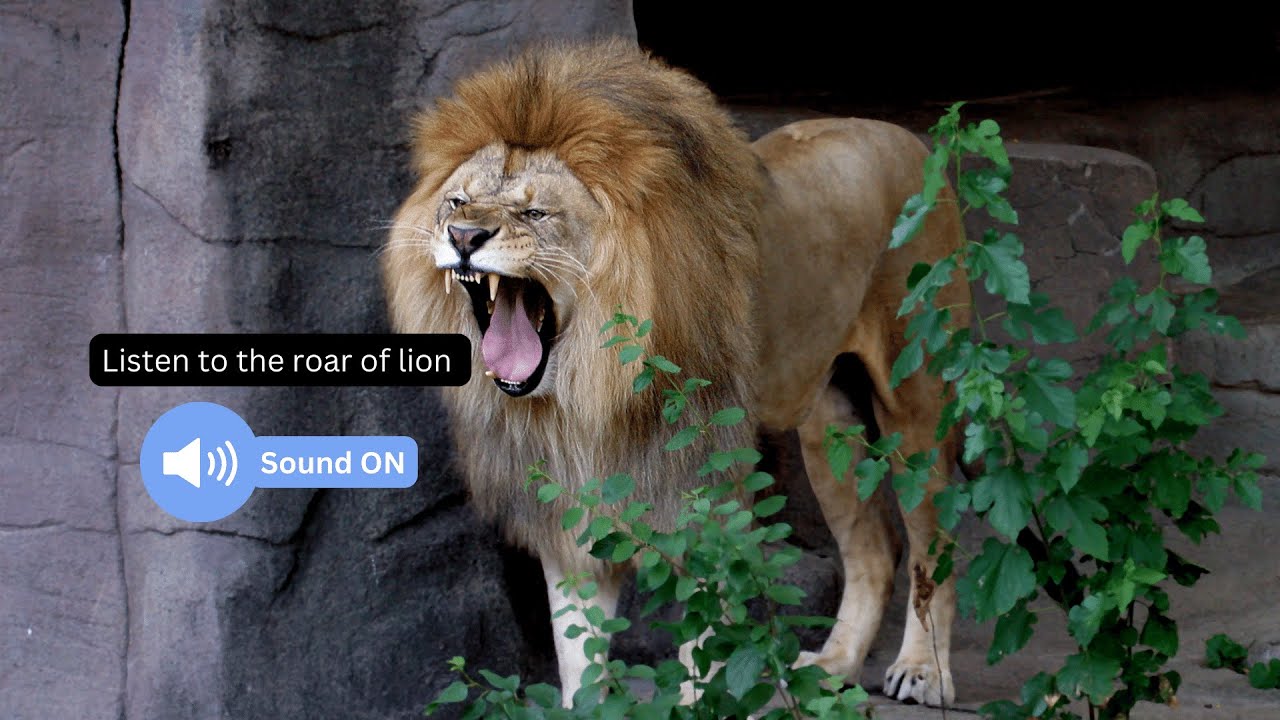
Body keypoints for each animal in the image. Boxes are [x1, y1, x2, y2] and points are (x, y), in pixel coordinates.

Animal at [382, 40, 969, 707]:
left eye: (534, 211)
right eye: (456, 202)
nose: (463, 236)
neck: (587, 390)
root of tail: (908, 137)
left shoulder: (702, 503)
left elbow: (702, 657)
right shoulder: (573, 509)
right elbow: (580, 659)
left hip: (916, 399)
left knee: (934, 544)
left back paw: (924, 672)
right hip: (830, 422)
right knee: (876, 548)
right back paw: (831, 667)